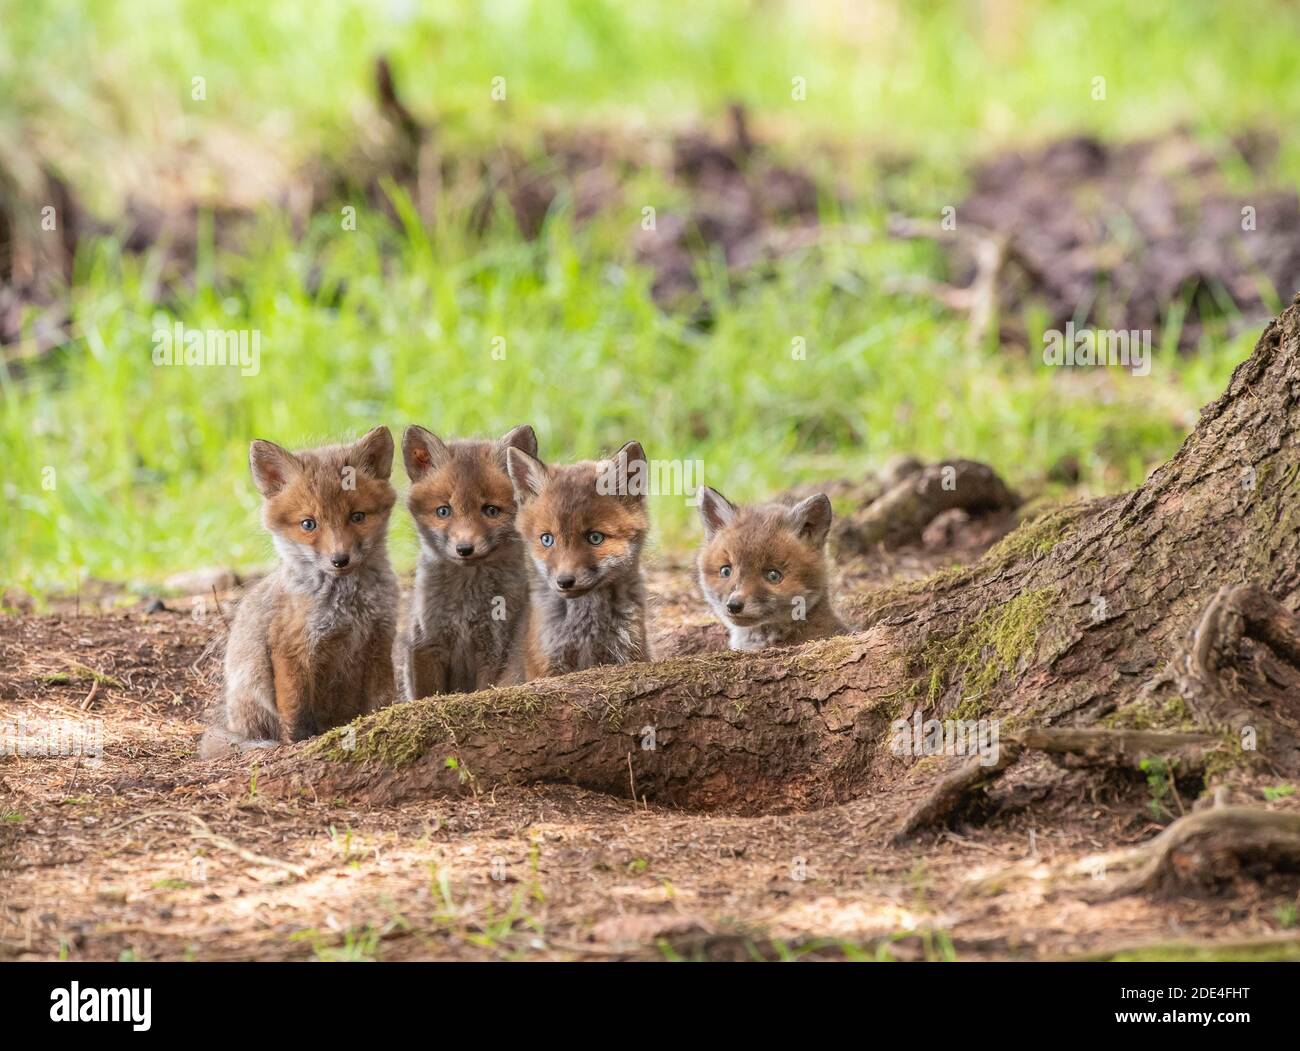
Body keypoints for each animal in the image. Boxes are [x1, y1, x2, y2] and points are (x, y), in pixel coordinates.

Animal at [198, 427, 399, 758]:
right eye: (308, 524)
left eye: (357, 517)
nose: (340, 560)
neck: (350, 607)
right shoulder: (293, 649)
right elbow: (296, 712)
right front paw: (301, 743)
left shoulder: (379, 641)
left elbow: (381, 700)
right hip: (253, 681)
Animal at [401, 423, 538, 697]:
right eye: (443, 511)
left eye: (491, 511)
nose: (464, 548)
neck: (466, 606)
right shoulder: (426, 643)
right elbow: (426, 696)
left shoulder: (494, 650)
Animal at [504, 440, 650, 681]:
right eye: (547, 539)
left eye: (595, 538)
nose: (564, 581)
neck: (585, 633)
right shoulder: (547, 666)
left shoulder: (628, 654)